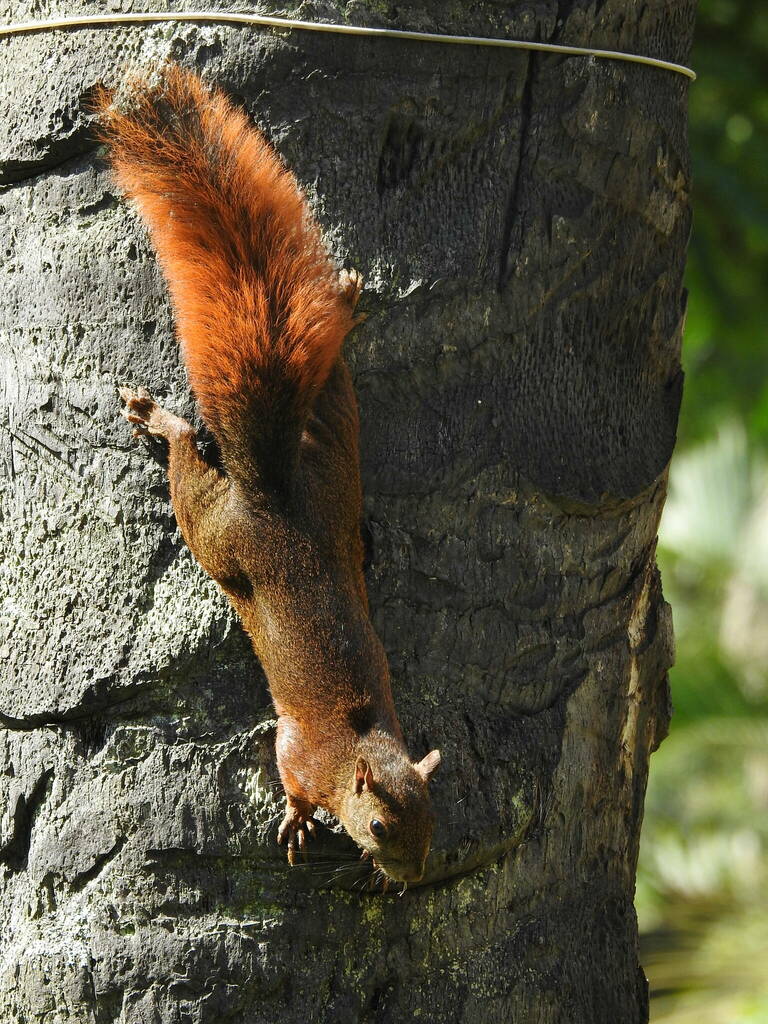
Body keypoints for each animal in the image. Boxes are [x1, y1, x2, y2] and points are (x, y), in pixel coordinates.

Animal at [93, 65, 440, 885]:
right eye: (380, 825)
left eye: (434, 820)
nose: (411, 880)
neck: (358, 744)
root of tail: (275, 488)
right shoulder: (299, 749)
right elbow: (287, 775)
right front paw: (295, 820)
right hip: (214, 528)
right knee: (190, 459)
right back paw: (158, 418)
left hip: (331, 460)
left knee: (330, 376)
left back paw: (346, 296)